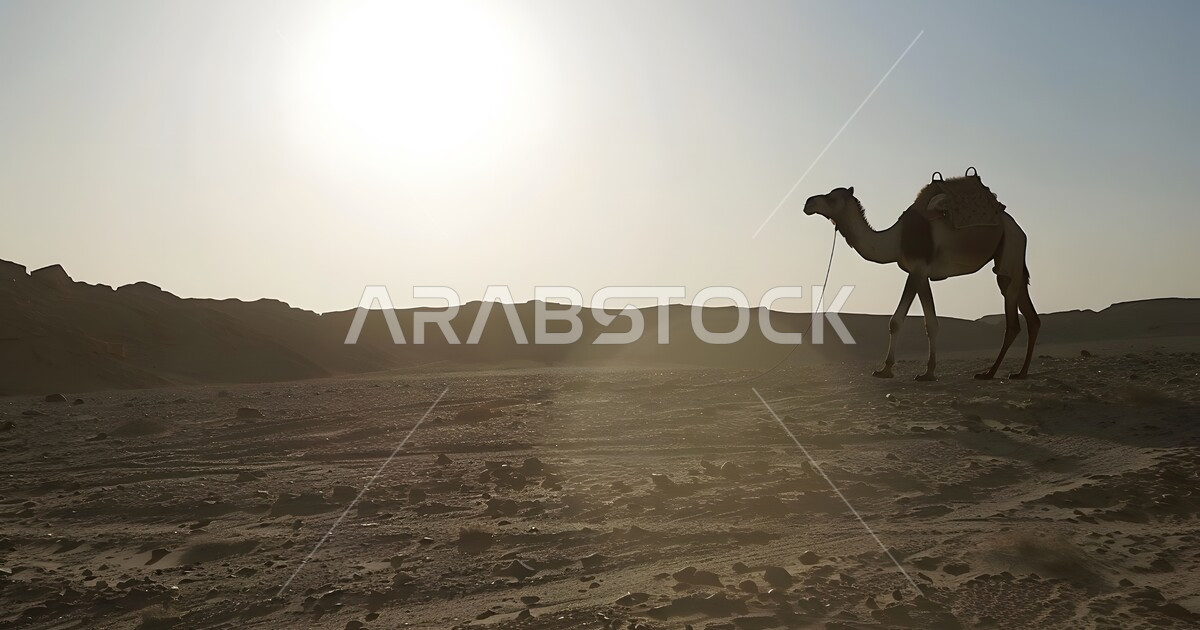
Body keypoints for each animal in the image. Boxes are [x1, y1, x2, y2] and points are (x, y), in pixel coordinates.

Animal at [802, 174, 1039, 381]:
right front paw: (928, 373)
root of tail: (1020, 230)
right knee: (1031, 316)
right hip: (1013, 260)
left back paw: (989, 373)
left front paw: (886, 370)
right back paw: (1020, 373)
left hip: (1010, 251)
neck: (896, 239)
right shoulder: (922, 273)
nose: (808, 202)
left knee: (1013, 321)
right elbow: (931, 323)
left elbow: (896, 321)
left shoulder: (916, 269)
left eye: (832, 197)